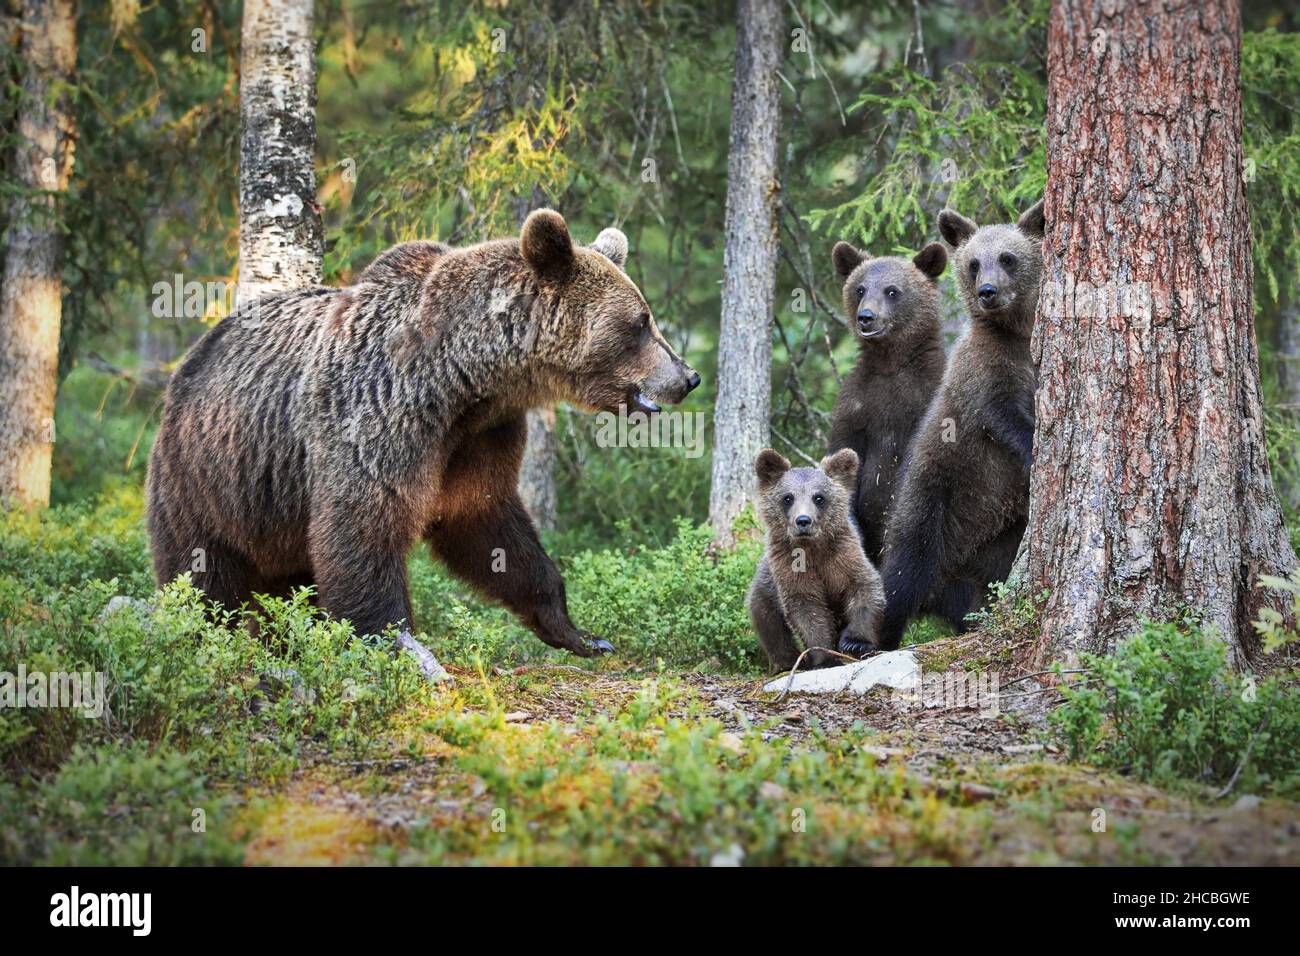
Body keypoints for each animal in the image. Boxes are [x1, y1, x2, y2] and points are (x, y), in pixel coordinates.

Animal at [146, 210, 700, 675]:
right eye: (641, 323)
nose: (688, 377)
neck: (460, 382)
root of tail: (193, 357)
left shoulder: (480, 437)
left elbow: (486, 523)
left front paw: (579, 633)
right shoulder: (378, 418)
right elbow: (362, 529)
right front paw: (397, 644)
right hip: (207, 480)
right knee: (203, 573)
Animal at [747, 448, 885, 671]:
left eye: (819, 497)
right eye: (788, 498)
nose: (803, 521)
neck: (812, 549)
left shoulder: (844, 556)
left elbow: (864, 587)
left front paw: (856, 643)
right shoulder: (790, 567)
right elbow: (807, 610)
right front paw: (825, 657)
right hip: (764, 591)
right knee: (770, 625)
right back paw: (788, 662)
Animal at [826, 240, 948, 565]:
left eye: (892, 290)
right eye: (860, 288)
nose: (866, 317)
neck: (891, 362)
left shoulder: (928, 394)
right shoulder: (858, 405)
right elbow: (845, 457)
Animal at [842, 199, 1045, 655]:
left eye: (1007, 257)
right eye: (973, 263)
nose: (988, 292)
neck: (1017, 334)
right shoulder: (983, 373)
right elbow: (1001, 415)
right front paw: (1033, 449)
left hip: (1002, 537)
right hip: (931, 497)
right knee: (904, 569)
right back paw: (863, 639)